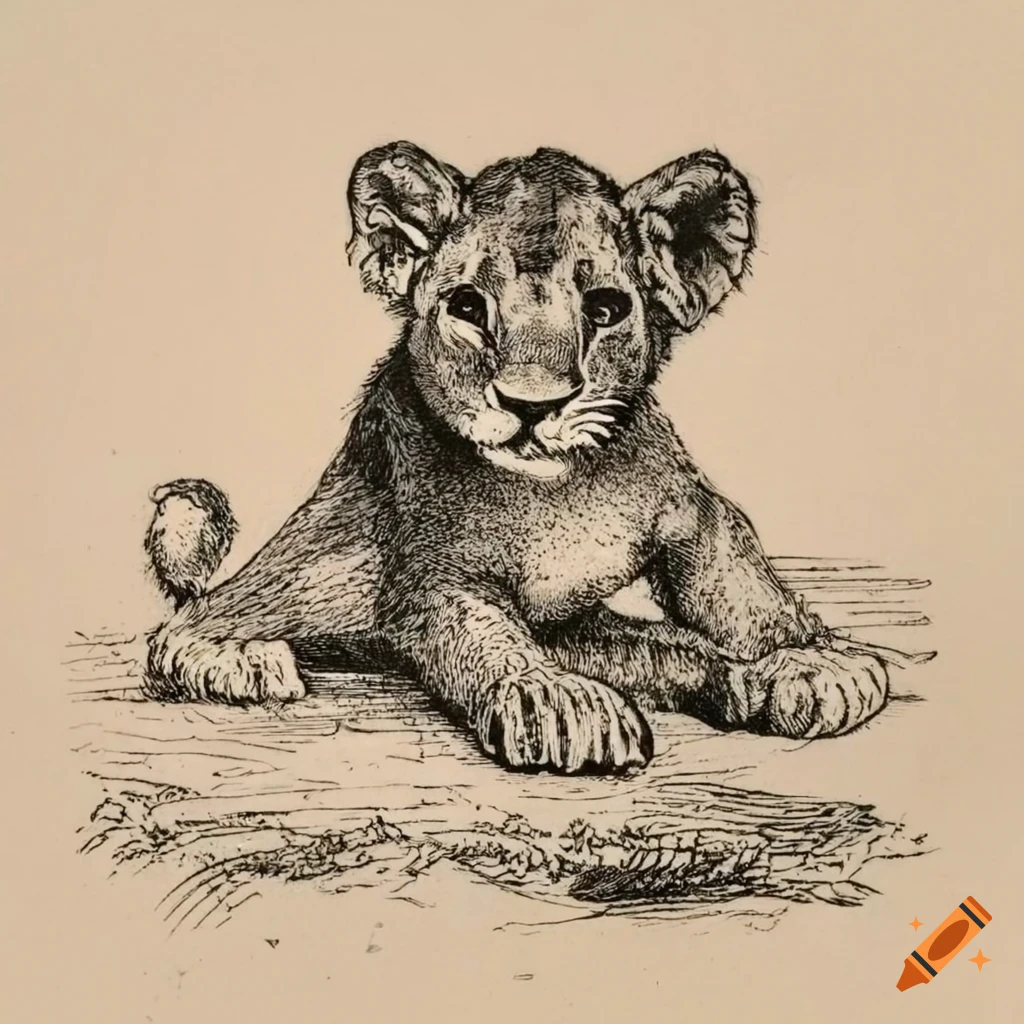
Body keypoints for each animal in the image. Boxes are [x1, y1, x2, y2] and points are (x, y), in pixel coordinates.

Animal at [143, 141, 891, 774]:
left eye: (606, 309)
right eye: (468, 307)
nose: (532, 405)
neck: (554, 493)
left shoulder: (693, 511)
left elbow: (739, 584)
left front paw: (812, 661)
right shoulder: (431, 576)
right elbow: (487, 636)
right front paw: (556, 704)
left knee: (665, 651)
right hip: (293, 574)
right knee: (187, 625)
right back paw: (241, 659)